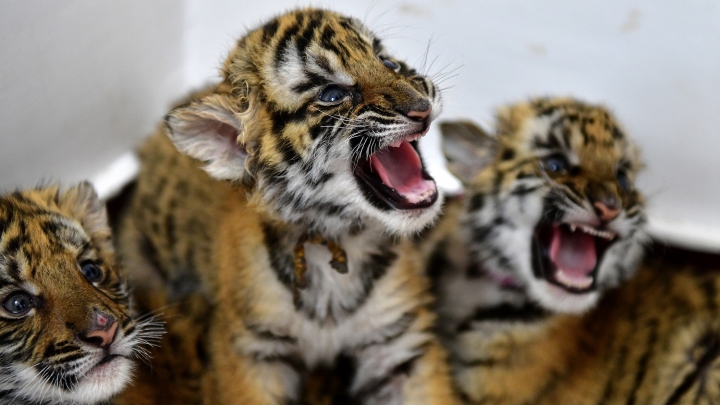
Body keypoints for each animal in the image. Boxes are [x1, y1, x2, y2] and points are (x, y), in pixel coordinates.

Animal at [116, 7, 456, 405]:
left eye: (388, 62)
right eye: (332, 94)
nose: (422, 108)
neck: (330, 238)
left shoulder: (400, 342)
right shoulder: (250, 351)